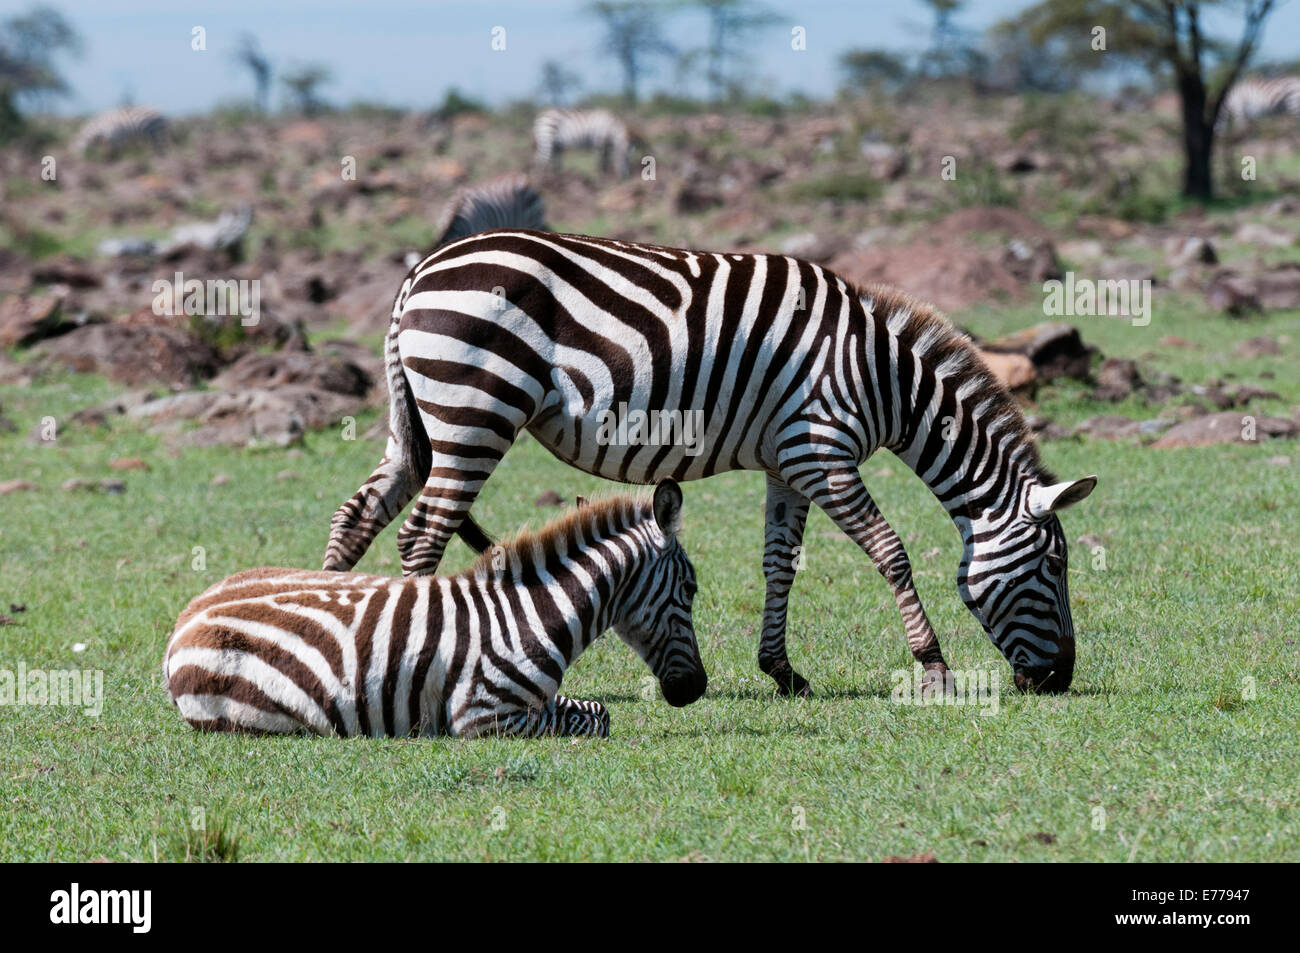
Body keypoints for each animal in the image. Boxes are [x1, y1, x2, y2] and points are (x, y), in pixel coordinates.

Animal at [167, 481, 704, 737]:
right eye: (692, 588)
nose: (695, 689)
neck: (530, 615)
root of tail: (187, 615)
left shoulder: (536, 702)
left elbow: (594, 709)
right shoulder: (486, 715)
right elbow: (592, 720)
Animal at [323, 230, 1097, 698]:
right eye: (1054, 566)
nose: (1059, 677)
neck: (884, 378)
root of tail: (420, 271)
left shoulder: (790, 461)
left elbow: (780, 562)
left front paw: (783, 671)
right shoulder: (823, 450)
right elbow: (890, 551)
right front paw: (933, 667)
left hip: (419, 422)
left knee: (360, 513)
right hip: (477, 410)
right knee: (421, 533)